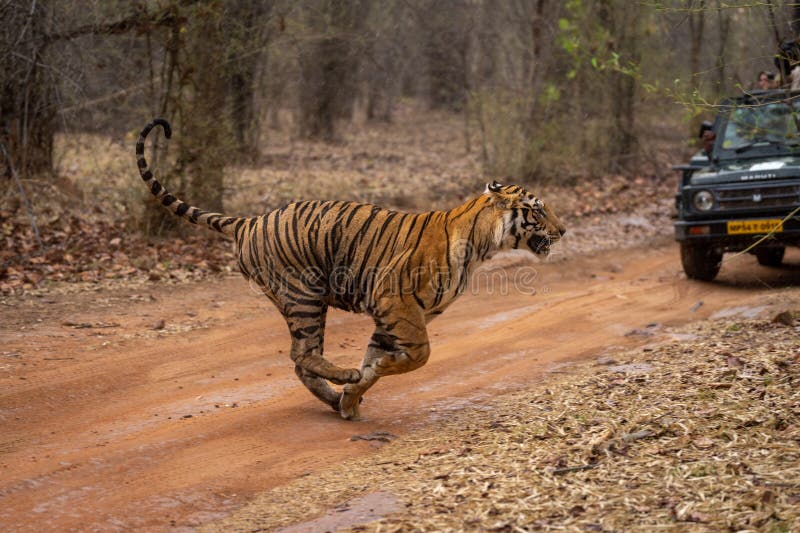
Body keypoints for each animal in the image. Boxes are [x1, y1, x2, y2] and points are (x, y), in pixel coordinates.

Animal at [135, 118, 566, 420]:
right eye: (538, 209)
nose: (563, 230)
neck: (482, 244)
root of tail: (250, 221)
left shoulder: (393, 315)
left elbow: (378, 360)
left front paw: (352, 399)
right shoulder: (397, 302)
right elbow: (420, 355)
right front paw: (359, 384)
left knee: (301, 360)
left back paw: (333, 396)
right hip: (304, 295)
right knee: (301, 353)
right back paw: (341, 378)